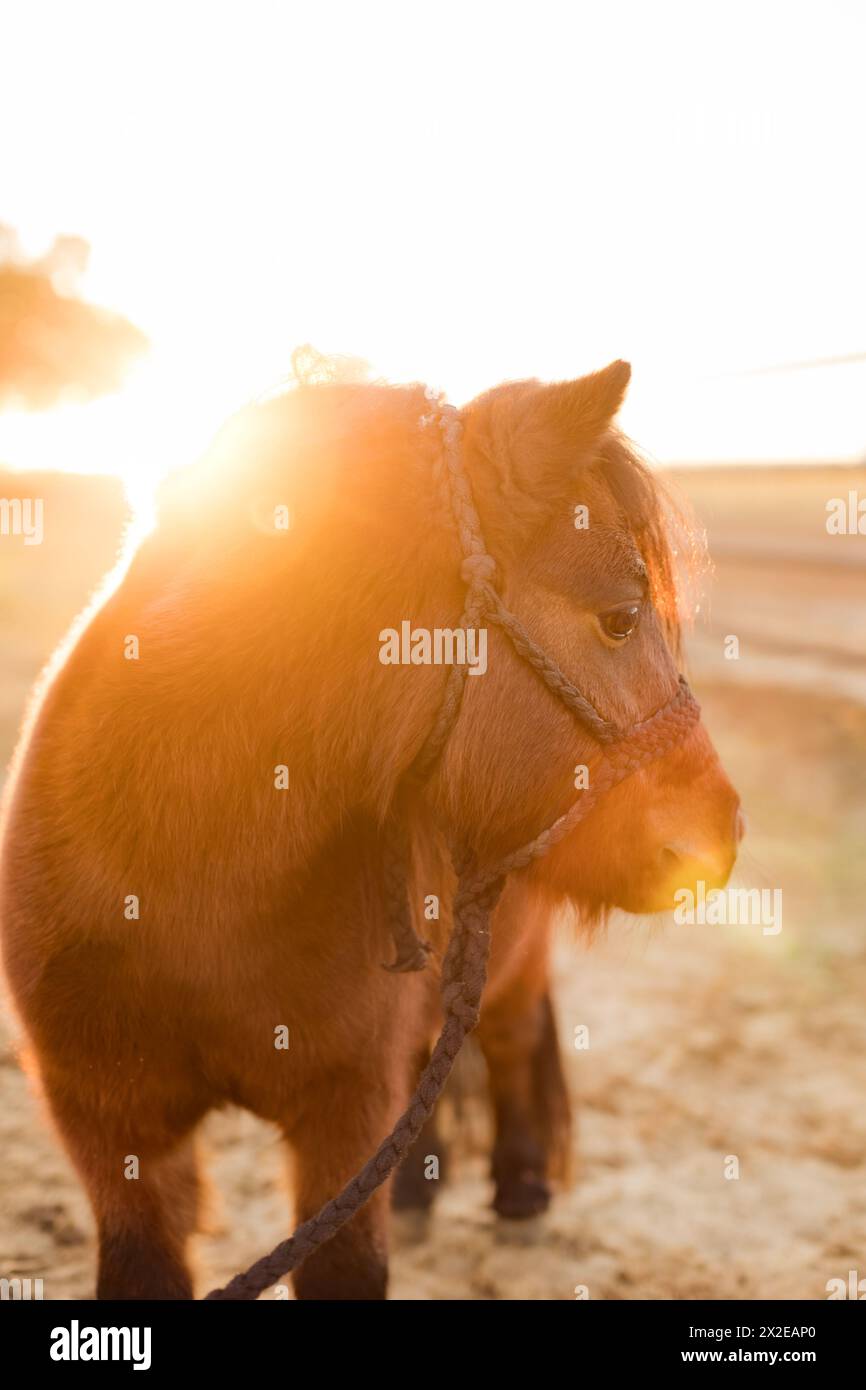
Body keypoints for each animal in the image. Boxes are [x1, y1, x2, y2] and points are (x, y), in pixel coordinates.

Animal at [0, 355, 742, 1299]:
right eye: (620, 616)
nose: (722, 829)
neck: (185, 873)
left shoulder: (342, 1115)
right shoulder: (114, 1126)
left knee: (515, 1035)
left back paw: (521, 1189)